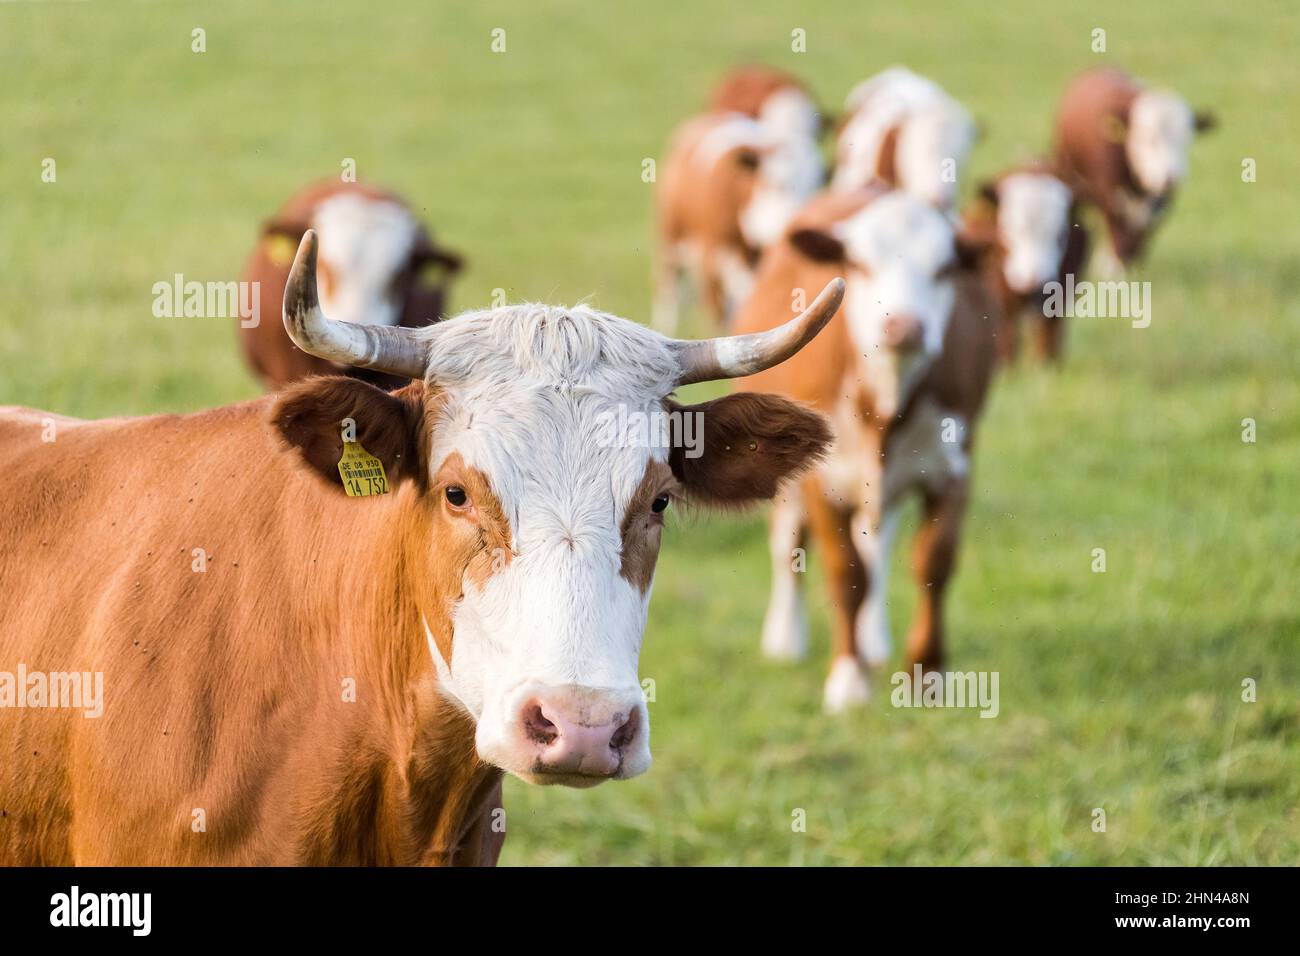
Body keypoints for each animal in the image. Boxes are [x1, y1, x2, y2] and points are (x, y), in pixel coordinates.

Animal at [732, 186, 1000, 712]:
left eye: (943, 269)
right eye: (860, 264)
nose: (905, 326)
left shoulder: (955, 466)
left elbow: (933, 561)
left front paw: (926, 675)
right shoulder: (819, 477)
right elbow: (845, 572)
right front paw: (848, 679)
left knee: (879, 542)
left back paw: (875, 641)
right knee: (789, 543)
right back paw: (786, 636)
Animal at [961, 163, 1090, 363]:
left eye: (1061, 235)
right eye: (1007, 232)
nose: (1033, 284)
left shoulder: (1057, 295)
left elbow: (1046, 337)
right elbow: (1006, 336)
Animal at [1052, 68, 1215, 271]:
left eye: (1185, 141)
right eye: (1148, 138)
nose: (1170, 177)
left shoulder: (1161, 201)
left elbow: (1146, 226)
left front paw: (1133, 266)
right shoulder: (1108, 191)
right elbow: (1116, 222)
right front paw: (1114, 267)